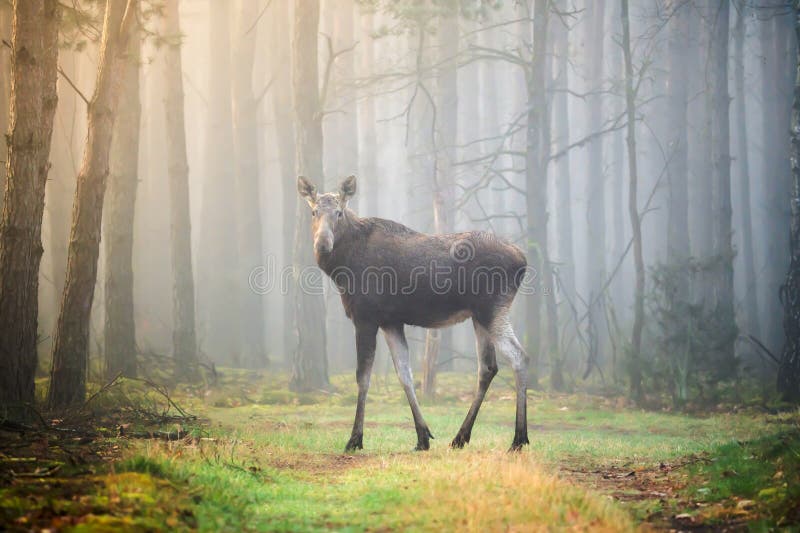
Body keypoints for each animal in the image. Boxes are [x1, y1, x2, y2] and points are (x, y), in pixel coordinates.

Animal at [297, 175, 530, 452]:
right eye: (313, 212)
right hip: (479, 315)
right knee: (488, 367)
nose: (322, 244)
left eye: (339, 213)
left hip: (492, 309)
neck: (342, 269)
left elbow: (363, 377)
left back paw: (518, 438)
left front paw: (355, 439)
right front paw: (422, 436)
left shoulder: (365, 317)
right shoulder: (391, 322)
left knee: (518, 356)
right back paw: (461, 436)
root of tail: (523, 260)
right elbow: (404, 373)